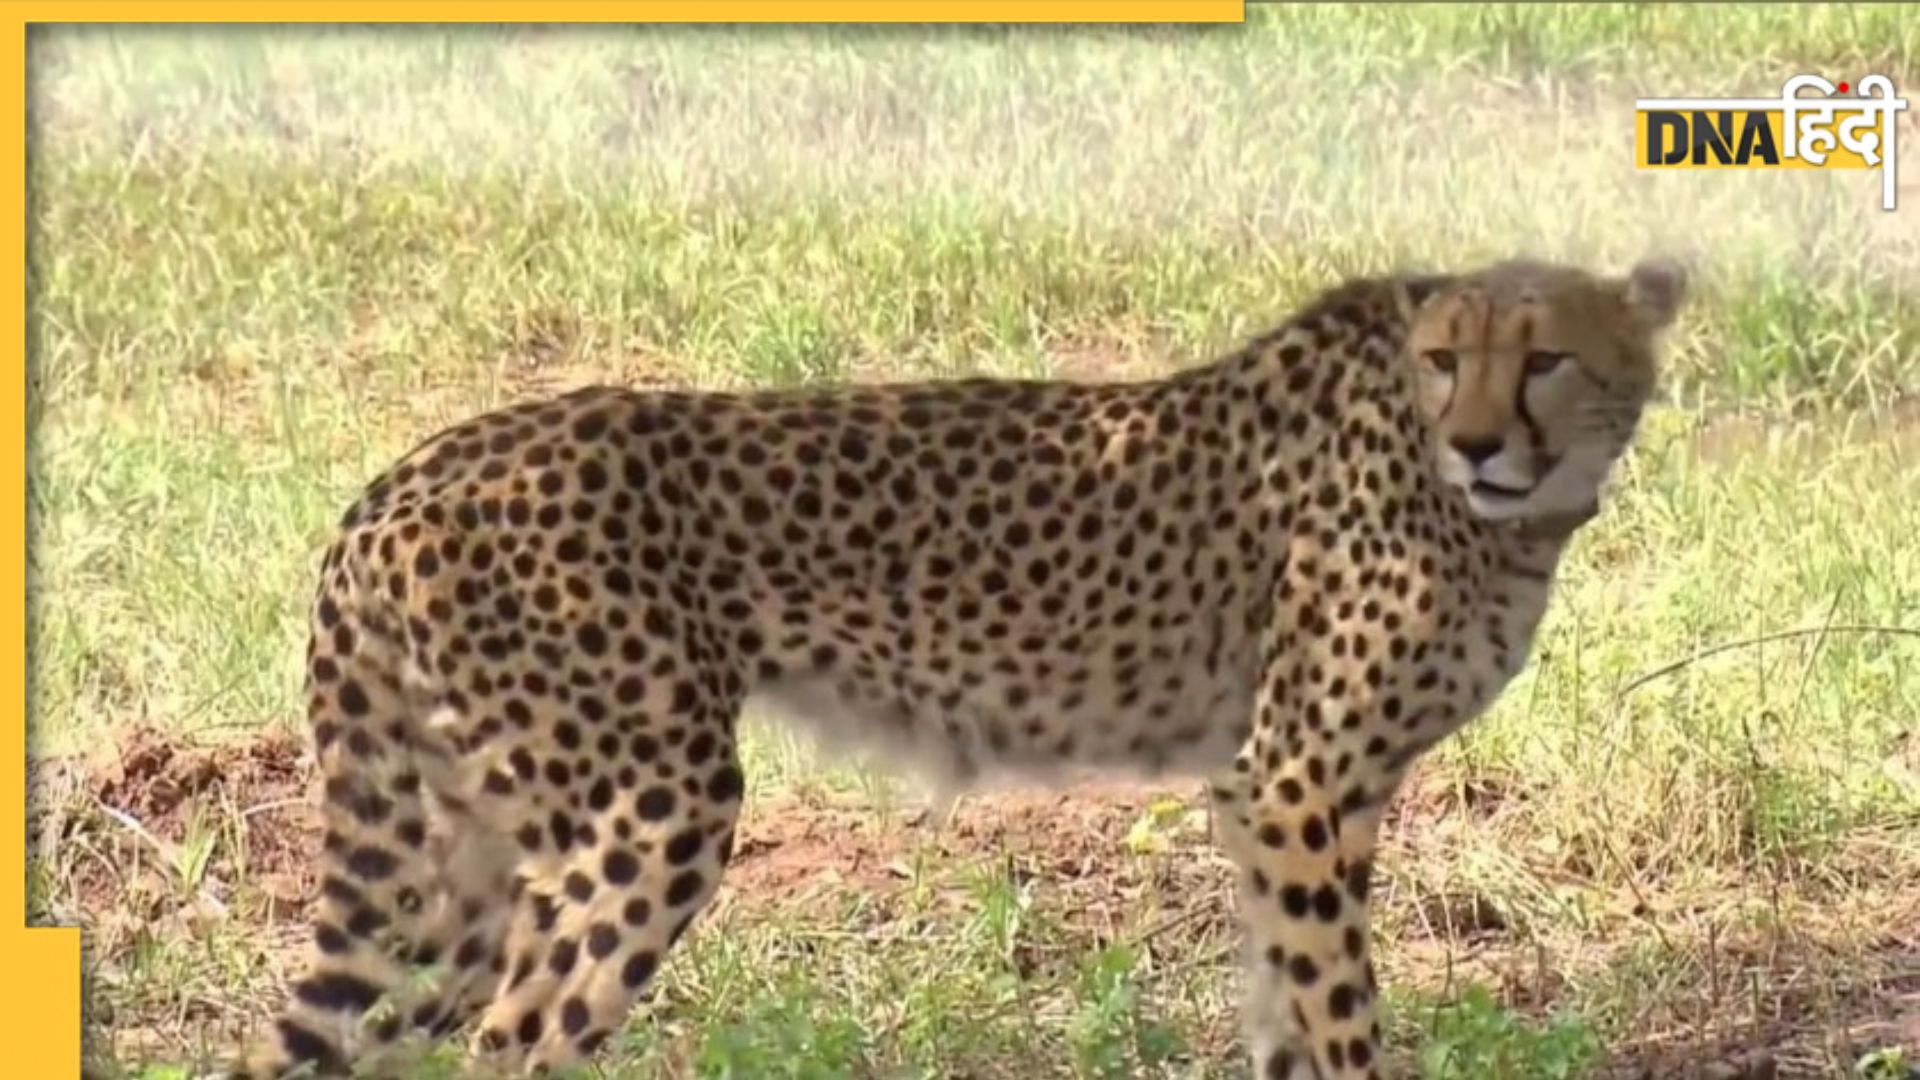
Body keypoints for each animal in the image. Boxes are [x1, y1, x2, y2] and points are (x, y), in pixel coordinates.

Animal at [235, 254, 1688, 1079]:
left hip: (467, 856)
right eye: (1447, 359)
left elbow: (1283, 999)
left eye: (1545, 357)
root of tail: (405, 475)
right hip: (645, 811)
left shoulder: (1274, 795)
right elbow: (1333, 1010)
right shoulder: (1298, 785)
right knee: (519, 1040)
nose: (1481, 443)